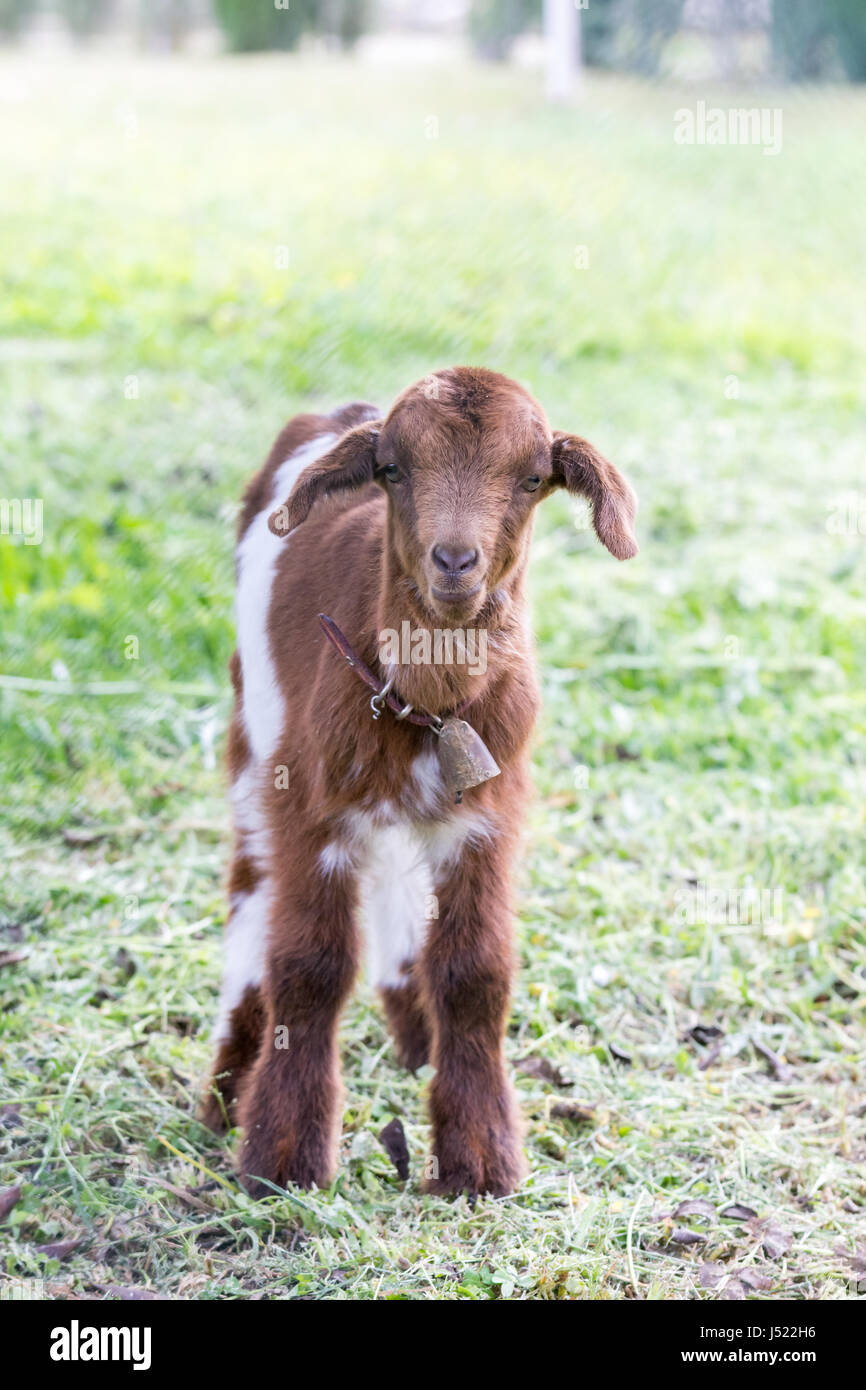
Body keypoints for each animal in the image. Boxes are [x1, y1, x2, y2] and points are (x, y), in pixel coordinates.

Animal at [202, 366, 638, 1198]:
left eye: (532, 478)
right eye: (392, 471)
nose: (454, 561)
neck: (427, 704)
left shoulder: (488, 816)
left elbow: (477, 971)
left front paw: (479, 1159)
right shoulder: (314, 809)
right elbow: (309, 964)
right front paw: (283, 1158)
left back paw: (412, 1033)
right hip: (254, 726)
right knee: (251, 883)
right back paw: (225, 1087)